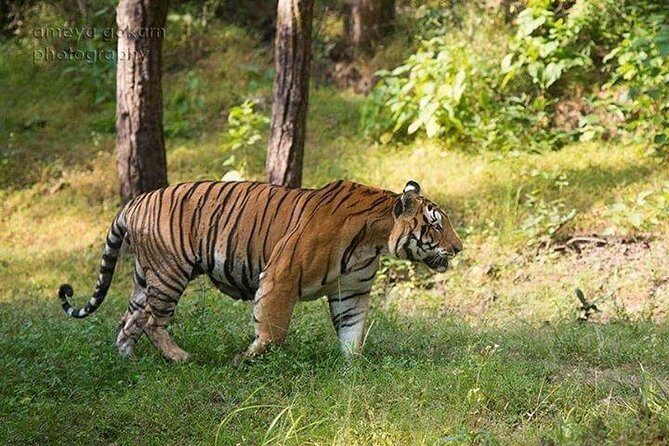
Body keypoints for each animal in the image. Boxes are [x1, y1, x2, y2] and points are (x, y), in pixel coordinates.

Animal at [58, 179, 462, 364]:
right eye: (435, 223)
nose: (459, 248)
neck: (374, 239)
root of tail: (134, 201)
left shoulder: (351, 292)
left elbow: (353, 333)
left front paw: (353, 368)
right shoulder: (281, 276)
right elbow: (273, 329)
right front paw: (247, 359)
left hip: (147, 276)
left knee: (127, 320)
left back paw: (127, 360)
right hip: (169, 272)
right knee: (151, 321)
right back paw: (182, 358)